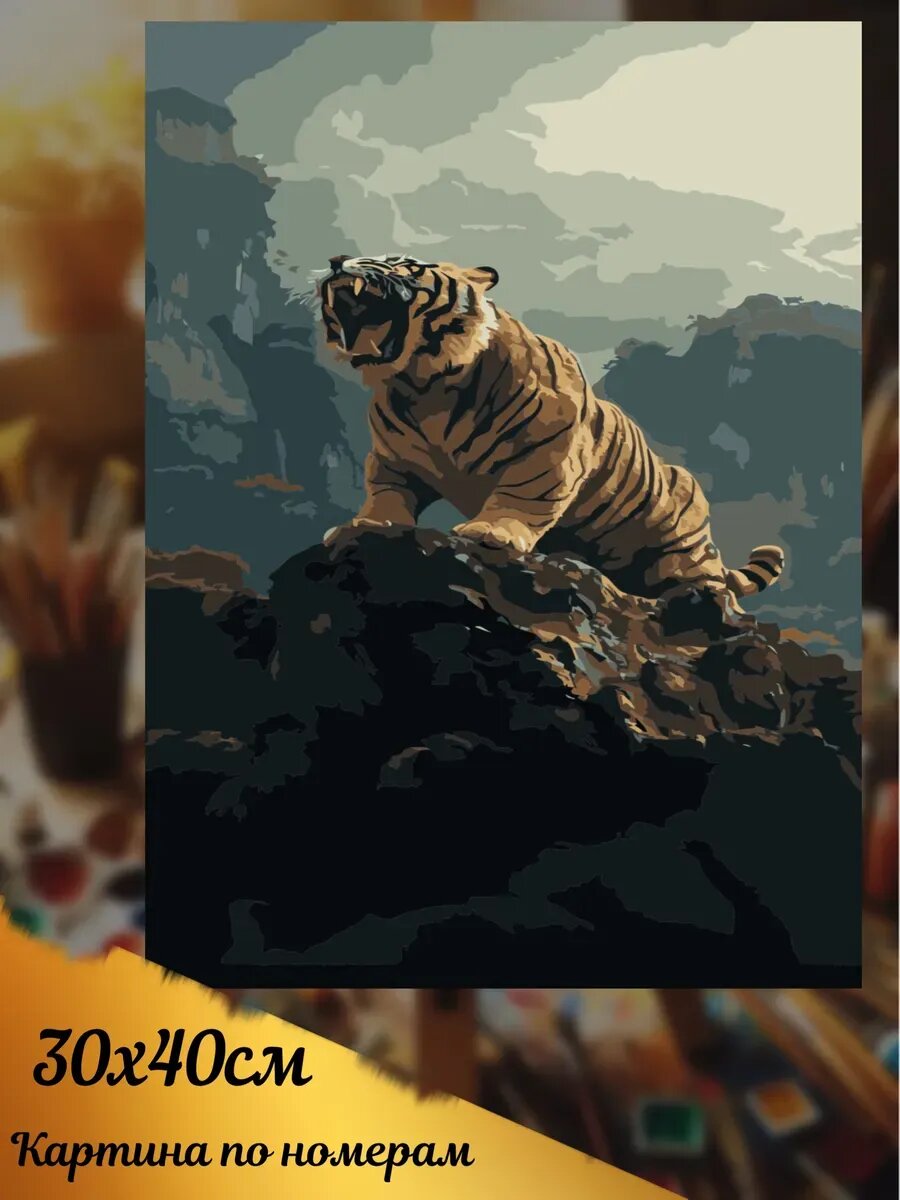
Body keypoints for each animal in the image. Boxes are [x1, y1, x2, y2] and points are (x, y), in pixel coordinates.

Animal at [313, 254, 785, 603]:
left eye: (404, 263)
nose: (335, 260)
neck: (422, 386)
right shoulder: (393, 458)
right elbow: (386, 493)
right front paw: (366, 526)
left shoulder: (547, 449)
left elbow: (522, 497)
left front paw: (491, 533)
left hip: (681, 545)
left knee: (711, 587)